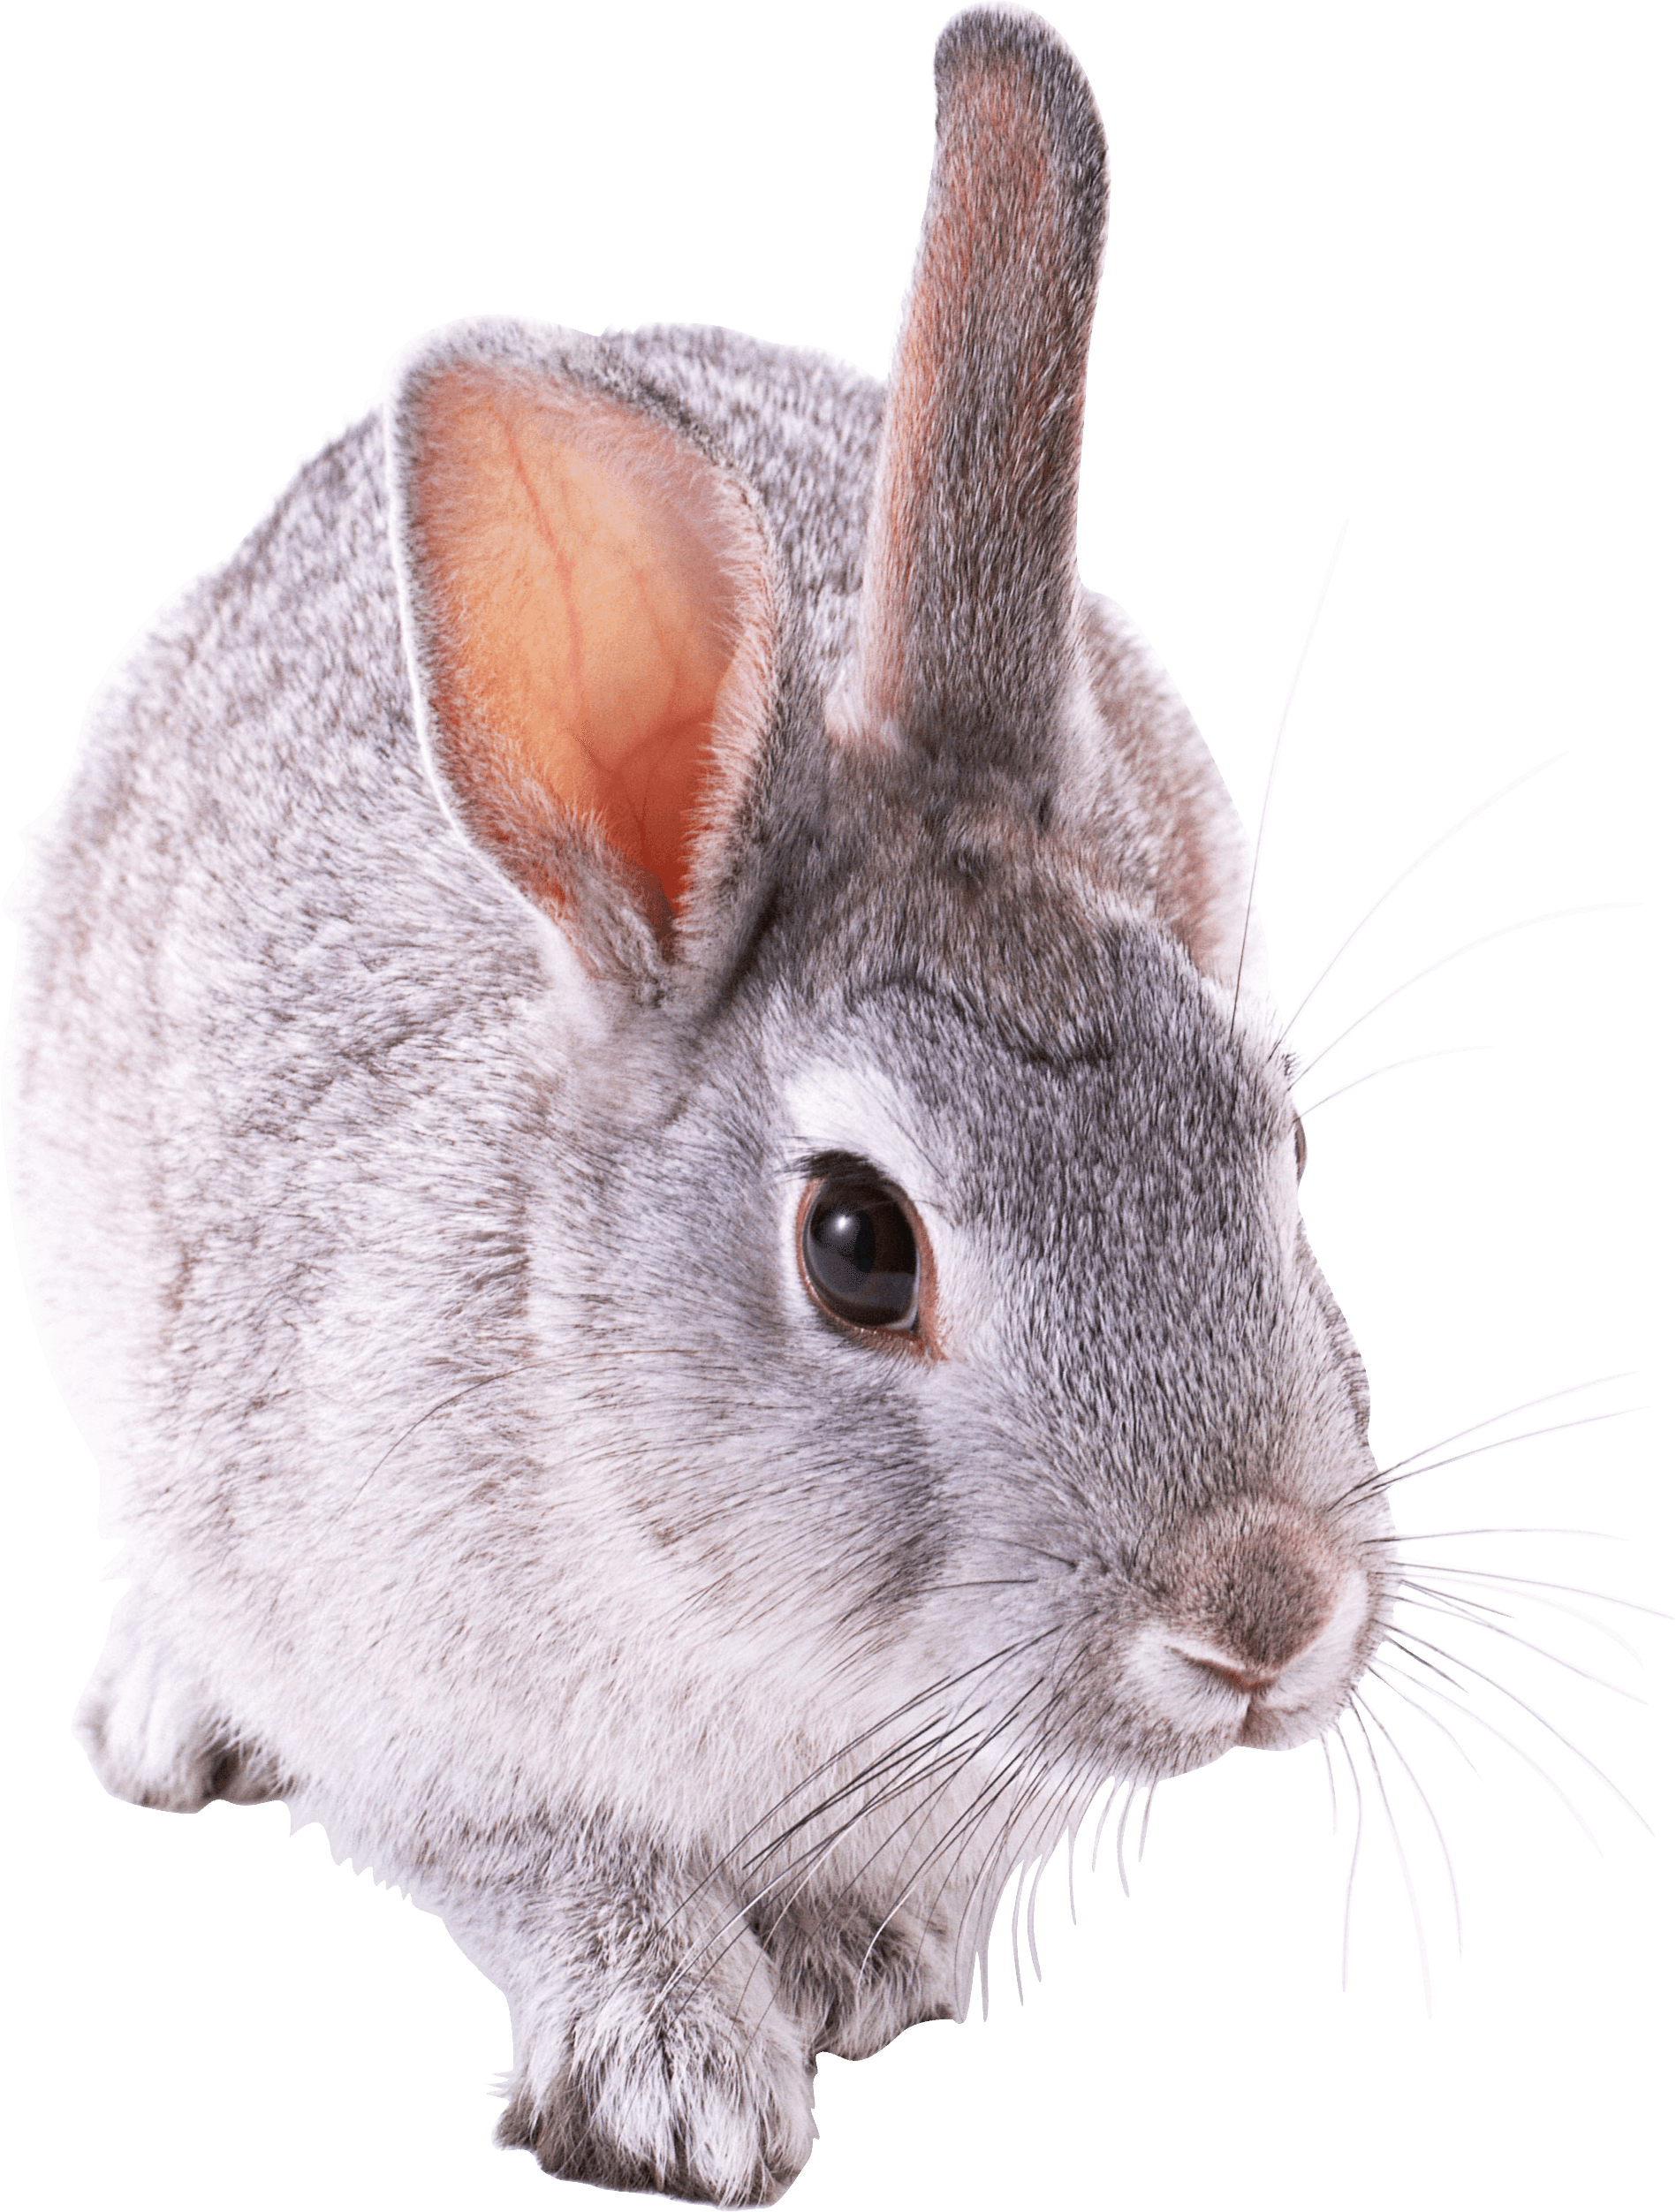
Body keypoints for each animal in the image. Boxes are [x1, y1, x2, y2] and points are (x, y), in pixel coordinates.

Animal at [6, 4, 1653, 2203]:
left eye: (1272, 1137)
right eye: (859, 1249)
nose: (1269, 1612)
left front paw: (858, 1966)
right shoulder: (417, 1708)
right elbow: (558, 1869)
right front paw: (679, 2091)